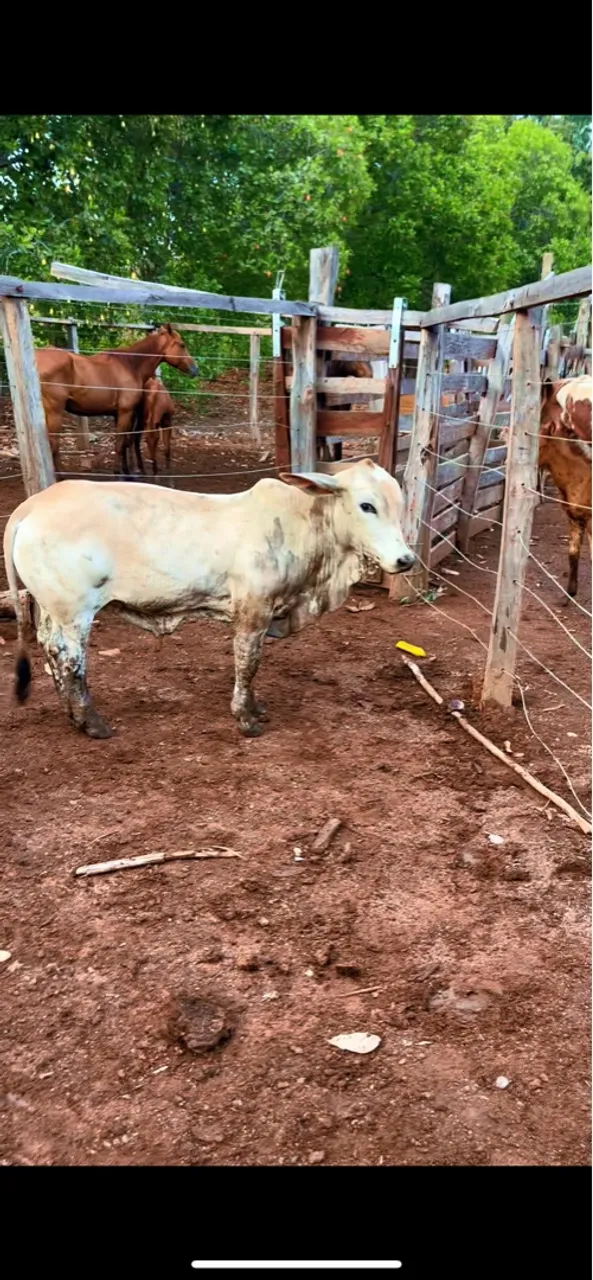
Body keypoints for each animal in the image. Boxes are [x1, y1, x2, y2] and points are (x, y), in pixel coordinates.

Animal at [4, 459, 414, 740]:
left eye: (399, 505)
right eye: (366, 506)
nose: (405, 559)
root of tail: (32, 506)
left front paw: (256, 707)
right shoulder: (253, 610)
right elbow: (248, 662)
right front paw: (245, 717)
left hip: (50, 608)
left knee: (49, 647)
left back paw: (70, 713)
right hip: (75, 612)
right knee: (70, 659)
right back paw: (91, 721)